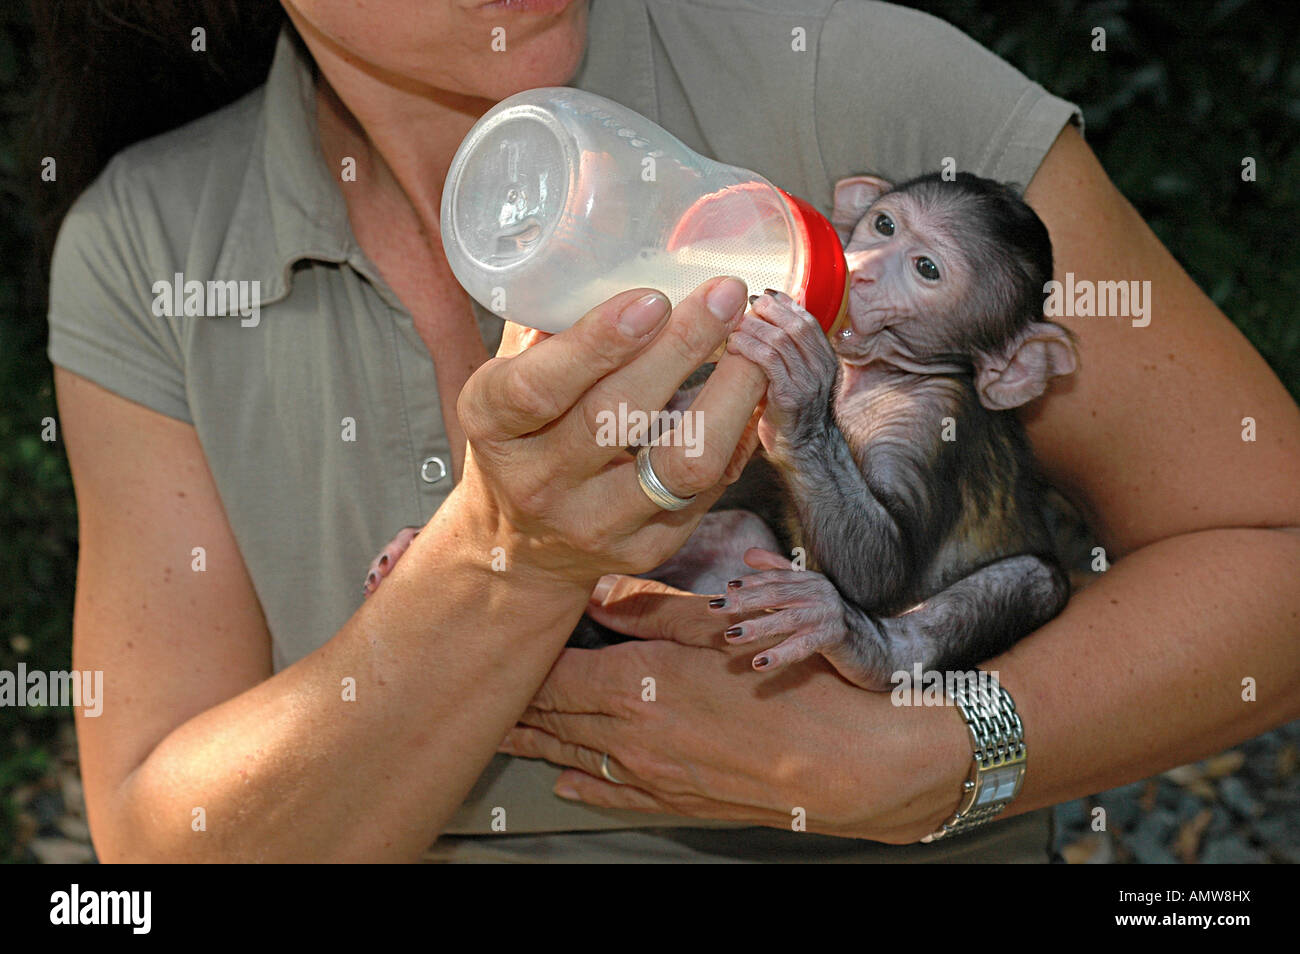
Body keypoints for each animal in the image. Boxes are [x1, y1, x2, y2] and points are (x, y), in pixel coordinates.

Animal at [363, 171, 1078, 686]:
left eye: (926, 268)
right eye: (883, 224)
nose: (865, 267)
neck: (868, 377)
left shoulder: (932, 419)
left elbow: (885, 571)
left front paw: (797, 383)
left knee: (1030, 581)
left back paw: (857, 642)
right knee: (732, 531)